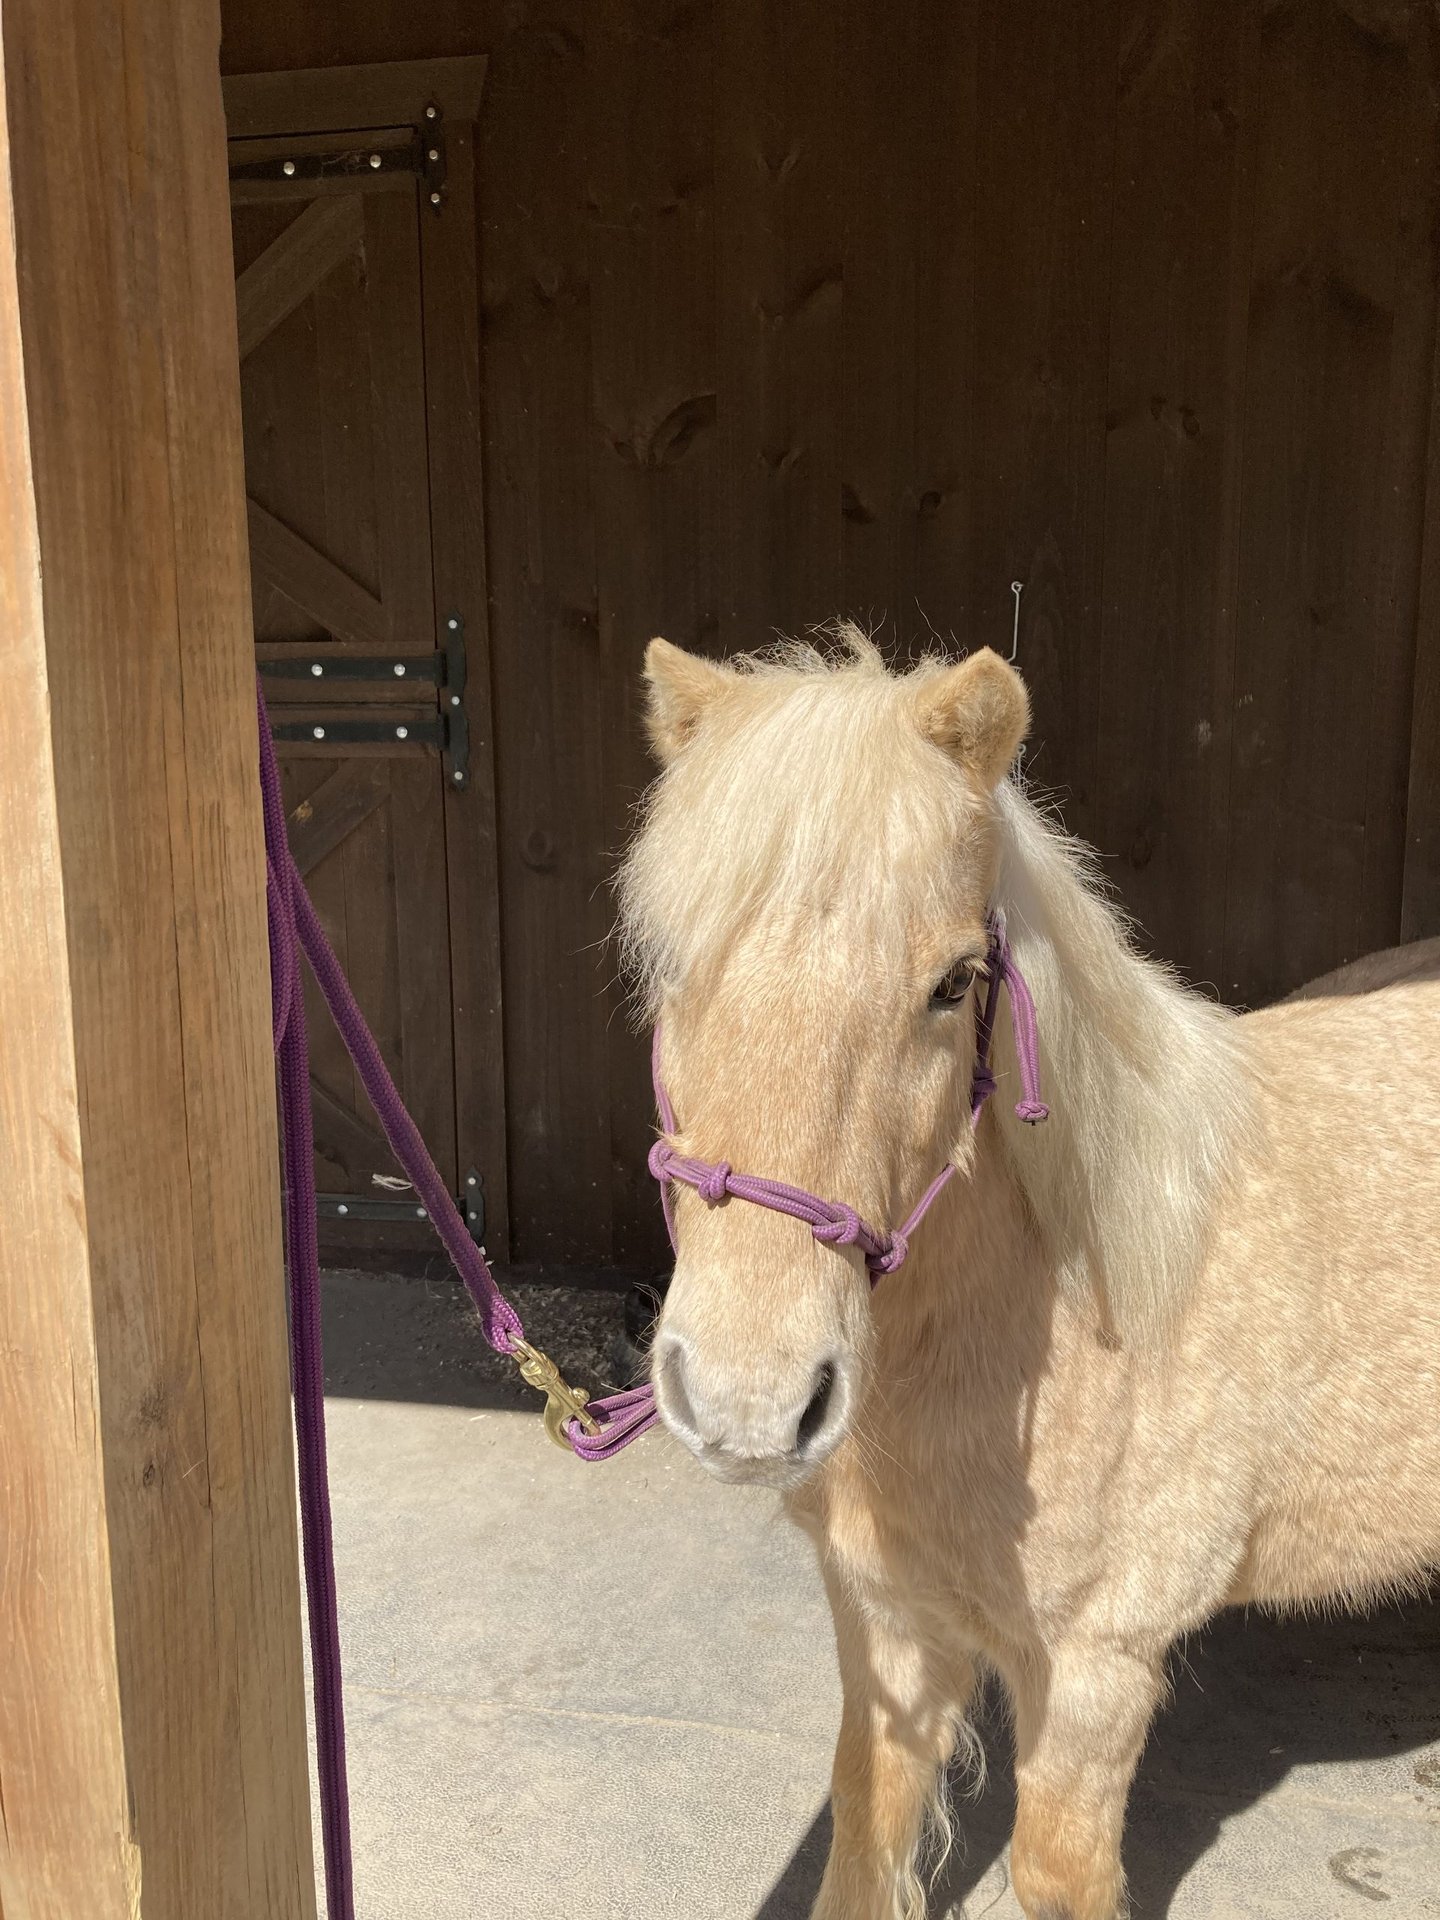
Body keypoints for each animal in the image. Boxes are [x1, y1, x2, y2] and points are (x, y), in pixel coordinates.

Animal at [617, 628, 1440, 1920]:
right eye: (663, 965)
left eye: (955, 983)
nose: (752, 1402)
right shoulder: (886, 1631)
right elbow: (863, 1839)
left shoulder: (1095, 1676)